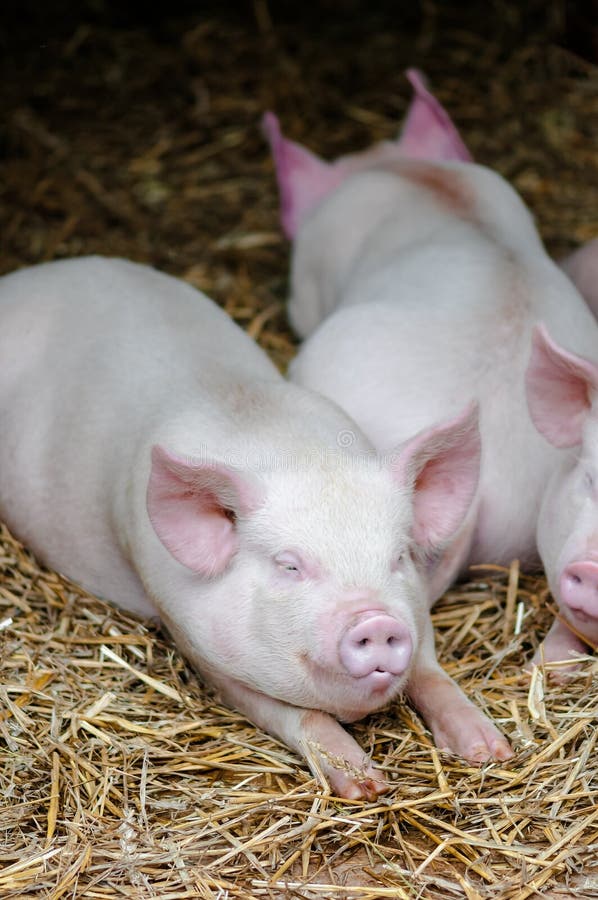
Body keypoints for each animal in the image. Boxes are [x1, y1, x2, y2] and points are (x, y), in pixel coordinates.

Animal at [0, 255, 502, 799]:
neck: (286, 442)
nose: (376, 622)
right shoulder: (195, 640)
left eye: (398, 558)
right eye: (289, 566)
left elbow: (430, 671)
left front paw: (489, 751)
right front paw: (364, 786)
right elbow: (298, 714)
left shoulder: (418, 617)